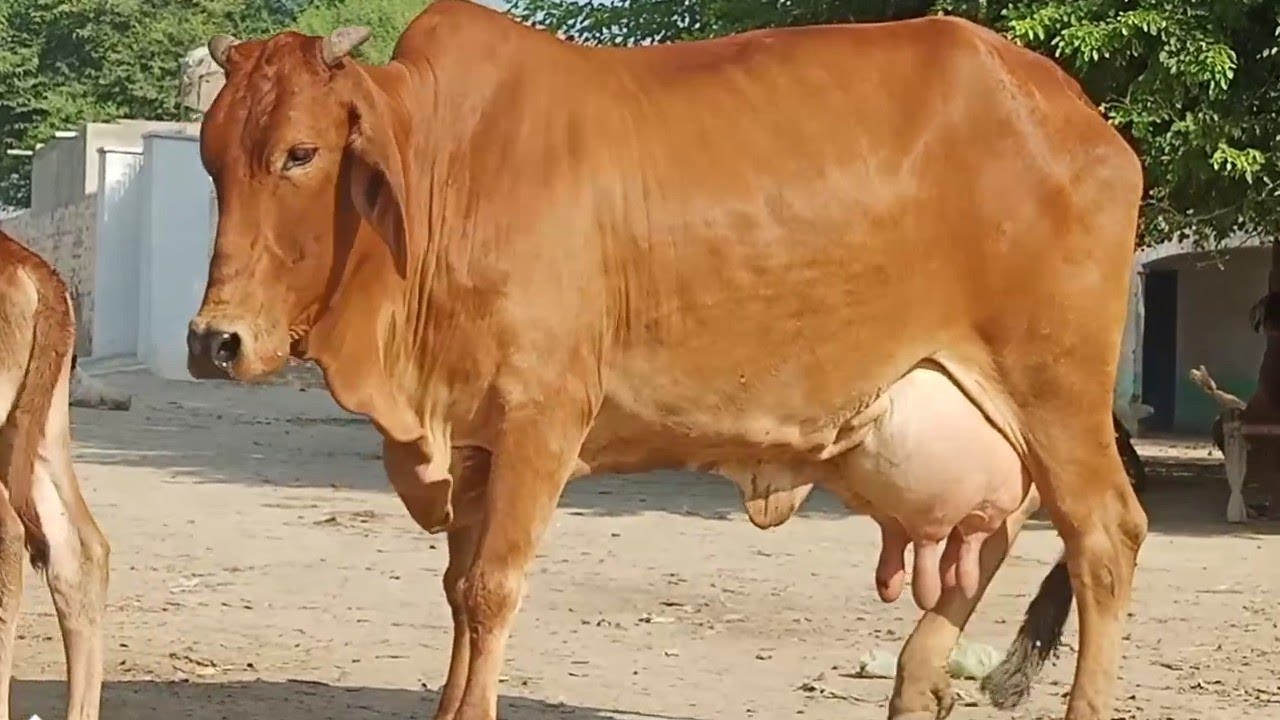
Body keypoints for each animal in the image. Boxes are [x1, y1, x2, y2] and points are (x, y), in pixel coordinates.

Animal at [187, 3, 1147, 719]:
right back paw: (919, 683)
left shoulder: (541, 420)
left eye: (302, 152)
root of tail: (1070, 108)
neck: (448, 171)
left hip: (1056, 389)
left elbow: (492, 589)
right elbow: (459, 590)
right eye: (211, 159)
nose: (214, 341)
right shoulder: (473, 440)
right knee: (997, 541)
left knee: (1104, 537)